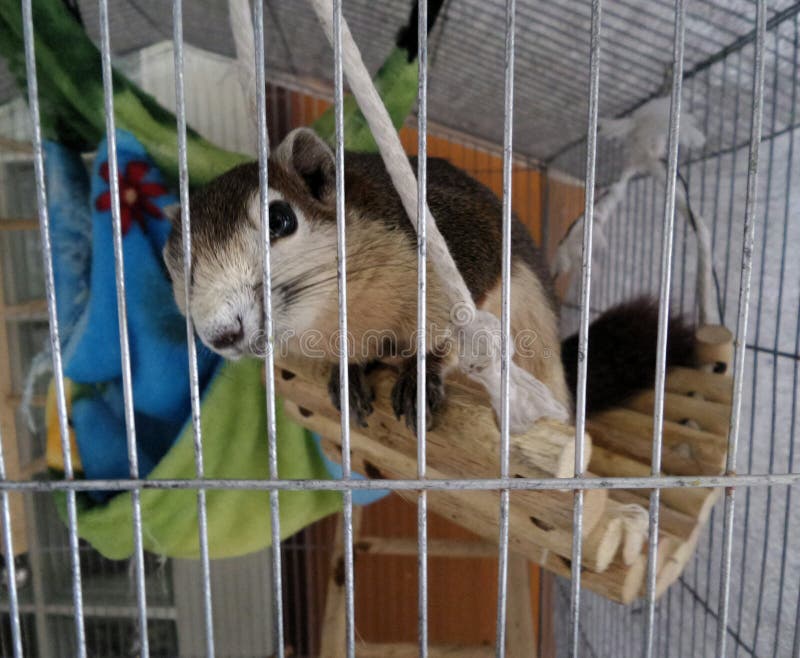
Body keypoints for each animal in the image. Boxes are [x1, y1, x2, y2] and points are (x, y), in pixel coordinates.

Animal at [163, 127, 695, 431]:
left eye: (280, 220)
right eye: (172, 262)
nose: (221, 333)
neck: (345, 308)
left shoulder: (457, 233)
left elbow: (454, 327)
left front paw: (424, 370)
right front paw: (346, 373)